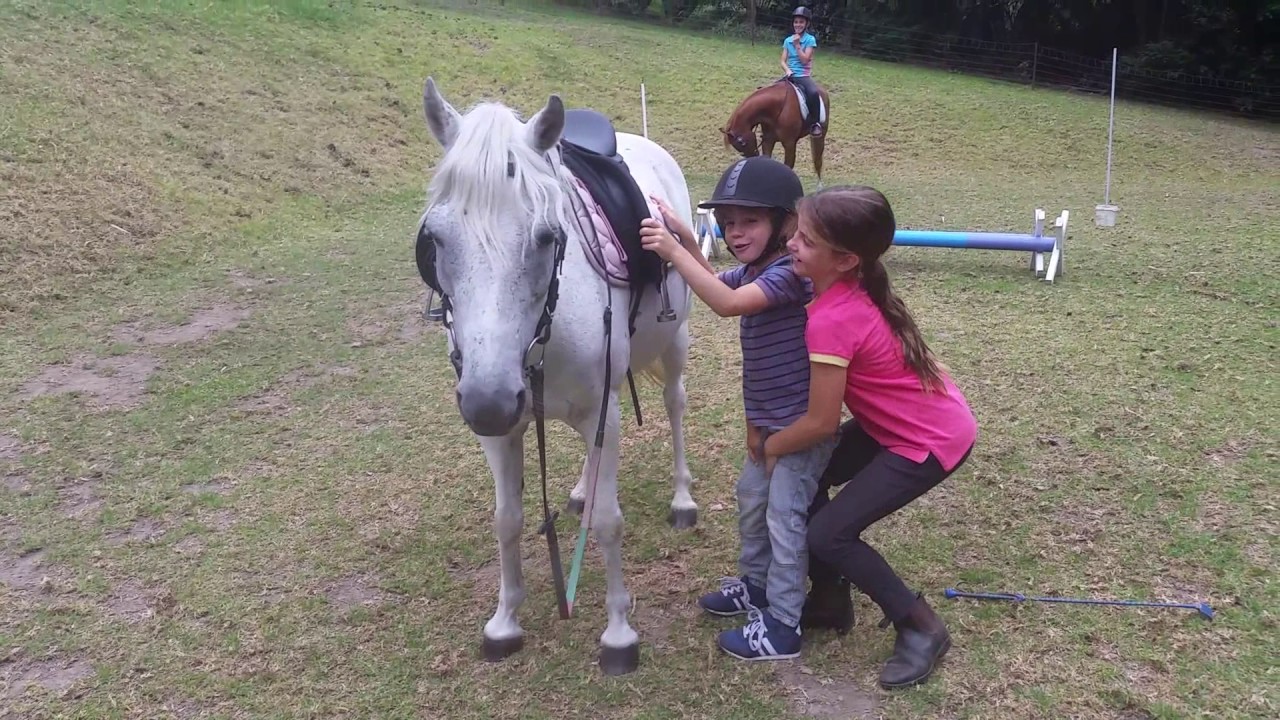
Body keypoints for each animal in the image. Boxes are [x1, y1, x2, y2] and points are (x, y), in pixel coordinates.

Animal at [416, 77, 699, 676]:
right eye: (435, 240)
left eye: (548, 237)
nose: (489, 402)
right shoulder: (503, 429)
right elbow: (507, 519)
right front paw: (505, 622)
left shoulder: (602, 413)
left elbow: (609, 521)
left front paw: (618, 635)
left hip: (676, 344)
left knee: (675, 404)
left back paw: (682, 499)